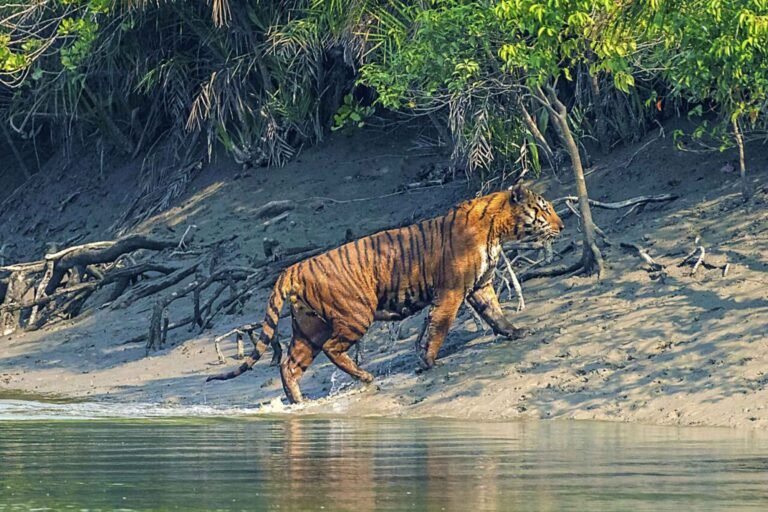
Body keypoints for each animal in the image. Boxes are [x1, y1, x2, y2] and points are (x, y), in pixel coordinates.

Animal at [207, 184, 564, 403]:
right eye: (544, 209)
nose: (561, 226)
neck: (497, 230)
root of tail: (292, 268)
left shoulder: (480, 286)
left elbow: (495, 313)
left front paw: (516, 332)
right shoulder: (451, 291)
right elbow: (439, 327)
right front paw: (428, 362)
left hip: (309, 328)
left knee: (290, 365)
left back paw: (299, 402)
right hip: (354, 315)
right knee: (332, 350)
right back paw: (364, 377)